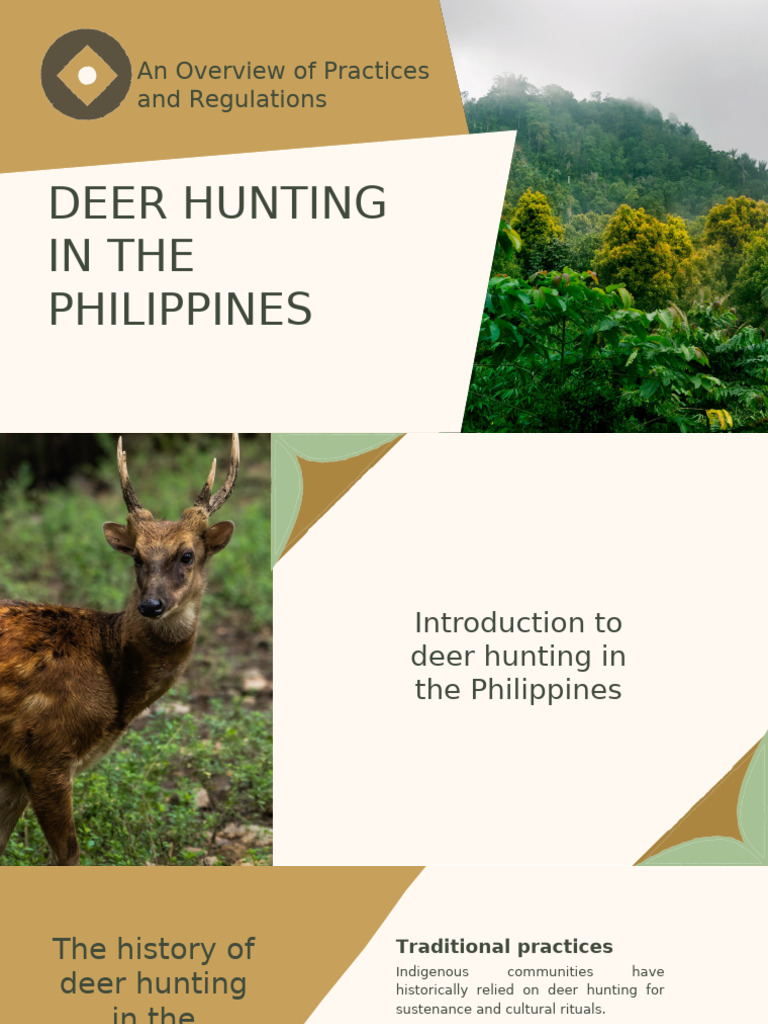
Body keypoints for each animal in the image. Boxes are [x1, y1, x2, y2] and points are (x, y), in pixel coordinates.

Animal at [0, 434, 239, 865]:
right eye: (137, 557)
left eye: (187, 555)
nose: (151, 605)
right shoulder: (44, 752)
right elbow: (68, 855)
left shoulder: (12, 771)